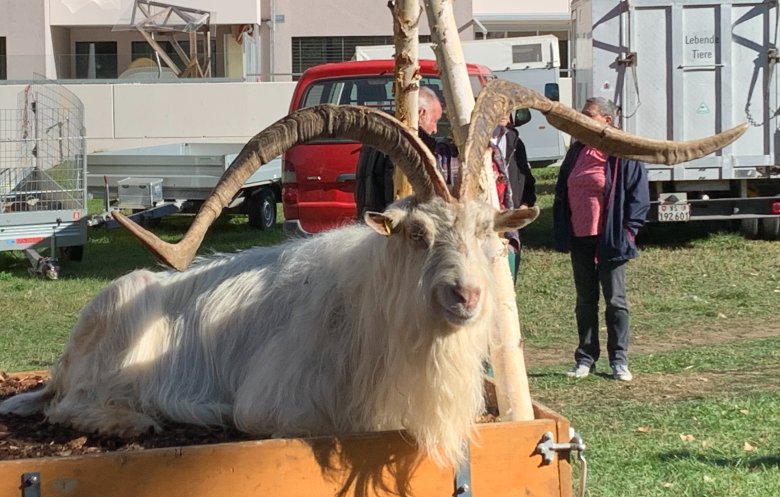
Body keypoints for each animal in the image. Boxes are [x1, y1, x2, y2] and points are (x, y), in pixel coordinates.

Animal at [0, 80, 747, 467]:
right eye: (417, 234)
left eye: (487, 230)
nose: (465, 295)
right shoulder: (271, 406)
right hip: (106, 352)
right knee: (71, 406)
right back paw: (133, 422)